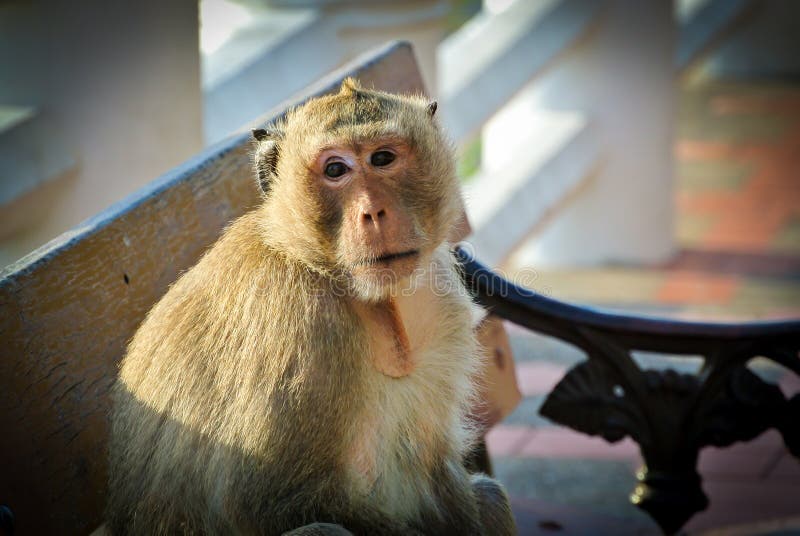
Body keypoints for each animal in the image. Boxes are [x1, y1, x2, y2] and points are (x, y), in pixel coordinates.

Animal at [106, 78, 516, 535]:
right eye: (335, 170)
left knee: (489, 495)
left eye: (383, 158)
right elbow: (263, 503)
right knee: (323, 529)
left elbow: (440, 473)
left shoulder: (438, 293)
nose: (373, 212)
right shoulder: (297, 325)